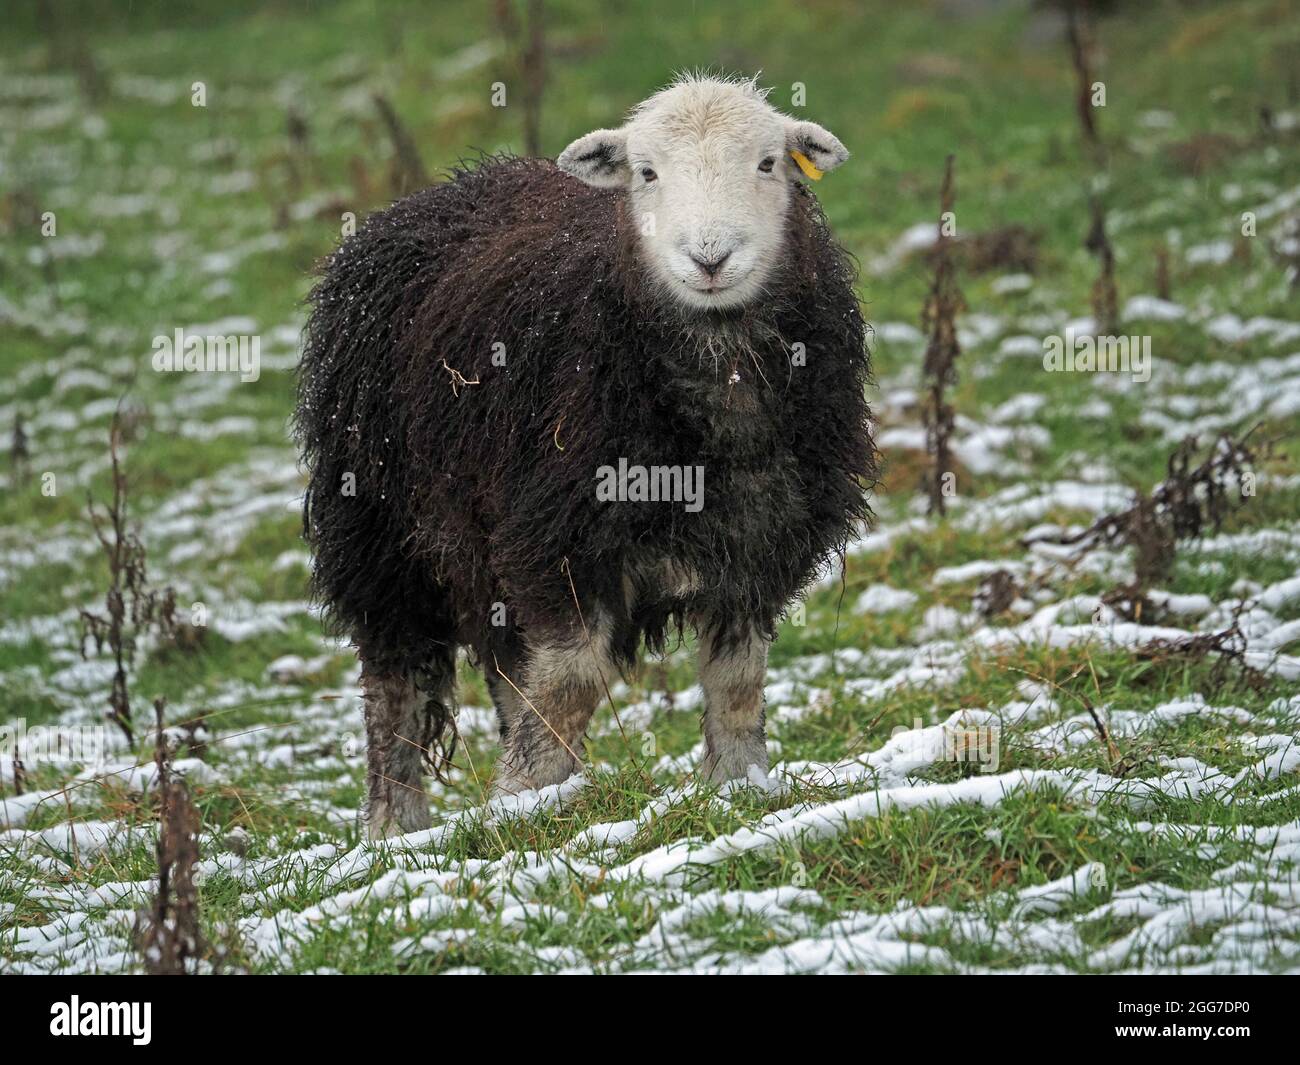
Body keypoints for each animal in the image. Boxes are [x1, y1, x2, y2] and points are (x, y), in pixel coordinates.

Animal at [295, 74, 877, 836]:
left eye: (768, 164)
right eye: (646, 172)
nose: (710, 258)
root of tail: (439, 189)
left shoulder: (760, 540)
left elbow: (737, 680)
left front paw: (741, 785)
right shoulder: (561, 535)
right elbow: (572, 681)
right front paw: (518, 802)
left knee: (506, 668)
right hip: (380, 529)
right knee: (397, 677)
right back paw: (395, 822)